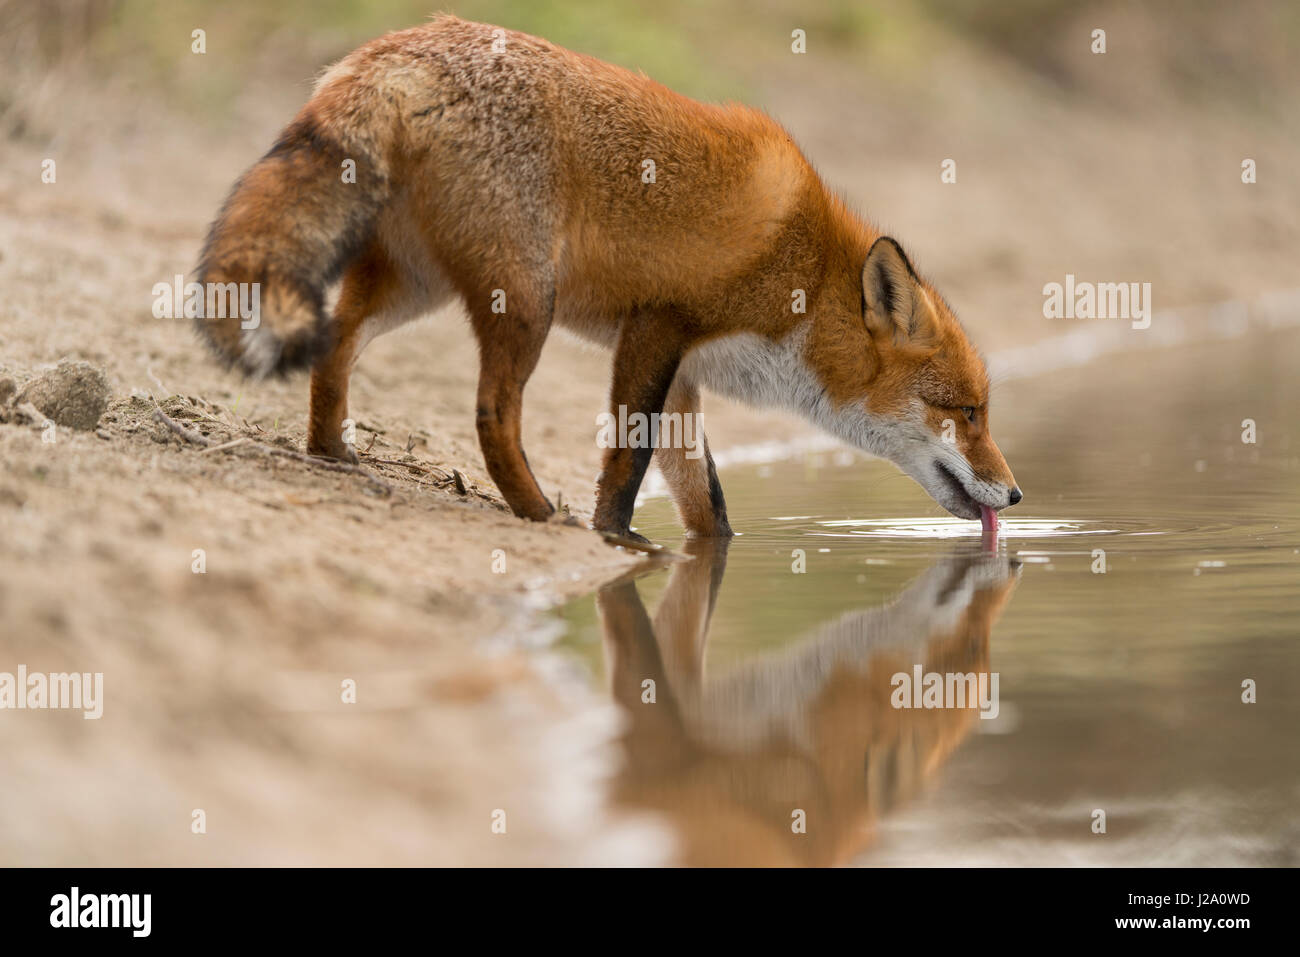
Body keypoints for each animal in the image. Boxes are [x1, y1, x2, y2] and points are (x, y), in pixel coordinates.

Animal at [195, 15, 1021, 542]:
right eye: (967, 412)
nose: (1015, 493)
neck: (807, 277)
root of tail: (395, 49)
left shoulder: (684, 371)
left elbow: (704, 497)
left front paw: (702, 556)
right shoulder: (658, 324)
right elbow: (629, 458)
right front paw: (615, 537)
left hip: (413, 286)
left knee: (335, 345)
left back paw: (331, 452)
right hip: (526, 298)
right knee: (492, 413)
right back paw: (535, 510)